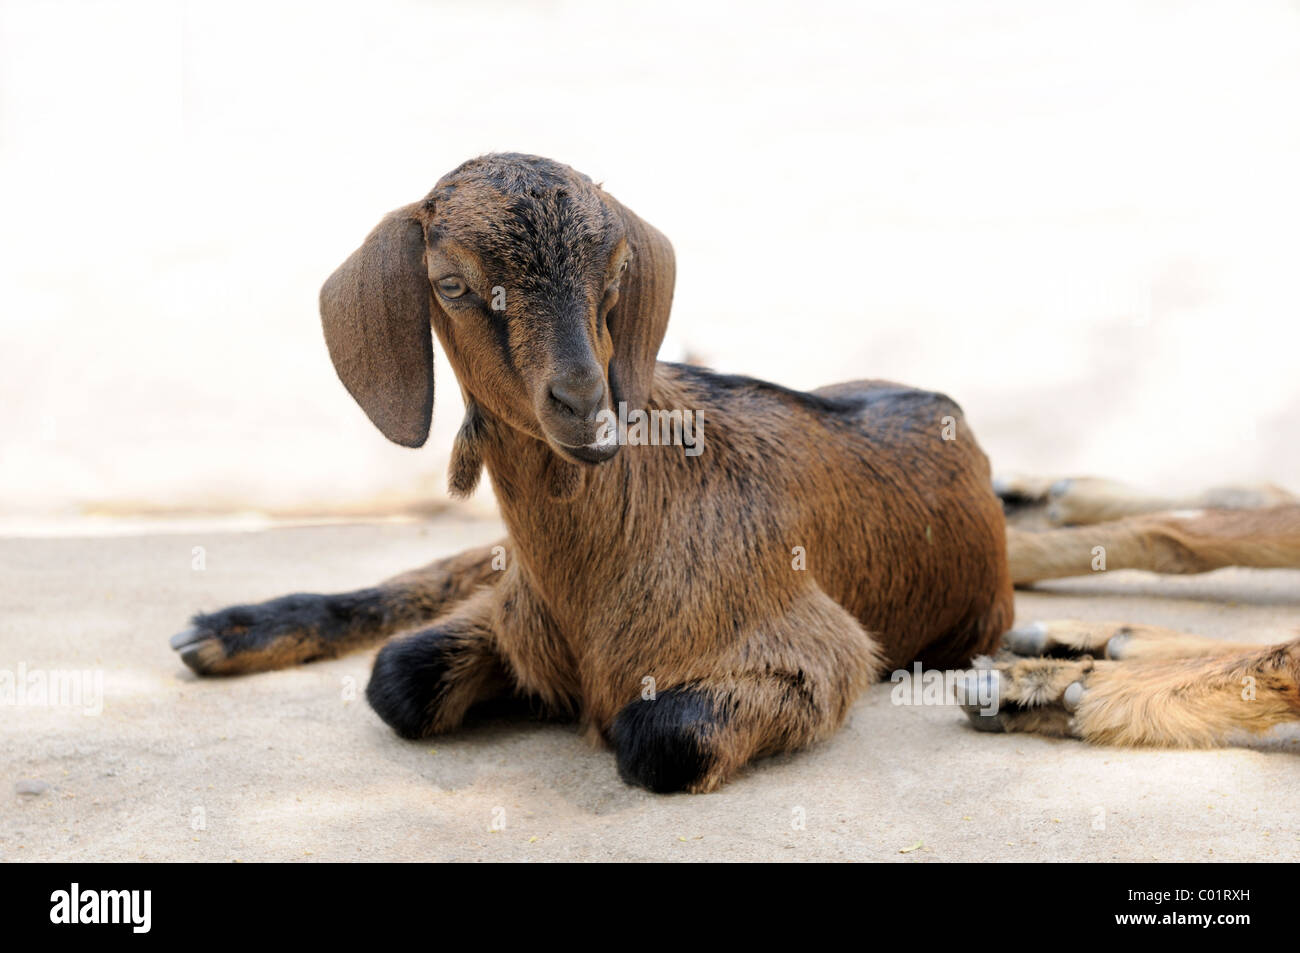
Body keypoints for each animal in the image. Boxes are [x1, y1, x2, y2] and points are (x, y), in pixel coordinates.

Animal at [170, 153, 1014, 792]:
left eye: (613, 282)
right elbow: (397, 677)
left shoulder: (814, 646)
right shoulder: (516, 604)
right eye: (451, 284)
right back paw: (223, 631)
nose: (584, 405)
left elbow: (657, 736)